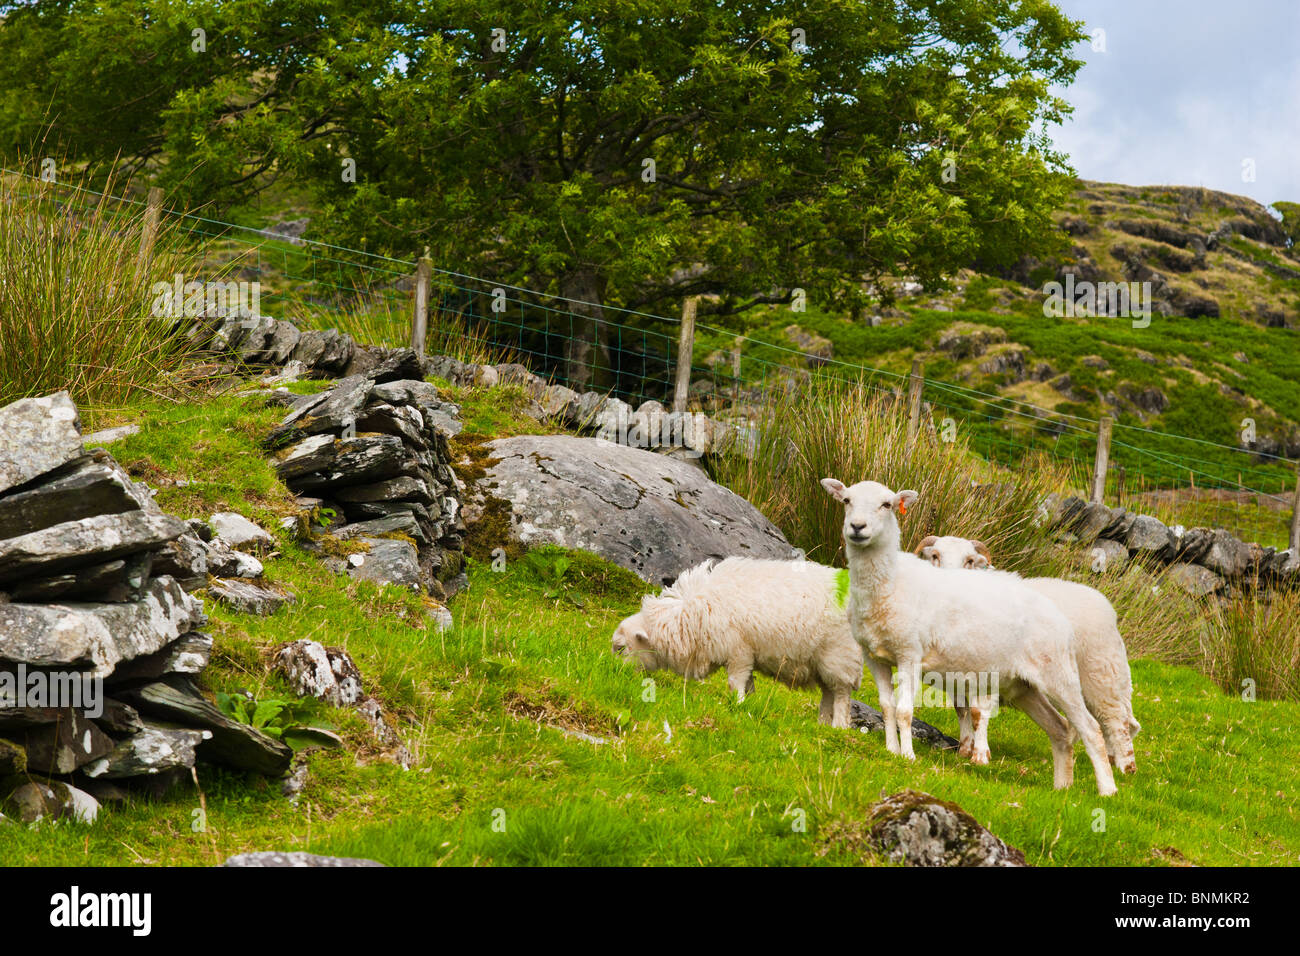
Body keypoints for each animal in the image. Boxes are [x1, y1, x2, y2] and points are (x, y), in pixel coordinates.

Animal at [610, 556, 863, 728]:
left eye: (621, 648)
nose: (614, 674)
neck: (686, 619)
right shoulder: (746, 654)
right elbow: (748, 683)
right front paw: (748, 704)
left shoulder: (738, 650)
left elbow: (735, 682)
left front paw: (738, 704)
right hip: (823, 663)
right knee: (829, 693)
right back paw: (822, 724)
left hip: (839, 655)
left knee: (841, 694)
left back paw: (838, 727)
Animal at [820, 477, 1118, 796]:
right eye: (846, 501)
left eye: (887, 504)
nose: (857, 527)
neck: (890, 583)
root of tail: (1058, 612)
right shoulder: (874, 656)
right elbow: (887, 708)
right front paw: (891, 750)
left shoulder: (910, 654)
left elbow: (904, 711)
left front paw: (908, 756)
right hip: (1023, 685)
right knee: (1060, 728)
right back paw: (1061, 787)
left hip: (1059, 674)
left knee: (1090, 728)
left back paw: (1107, 790)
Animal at [914, 535, 1140, 774]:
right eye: (935, 556)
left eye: (969, 560)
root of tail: (1105, 605)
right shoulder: (954, 677)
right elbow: (962, 710)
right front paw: (965, 749)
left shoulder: (987, 671)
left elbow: (979, 712)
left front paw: (980, 755)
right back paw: (1110, 759)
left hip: (1100, 675)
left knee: (1118, 720)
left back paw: (1125, 766)